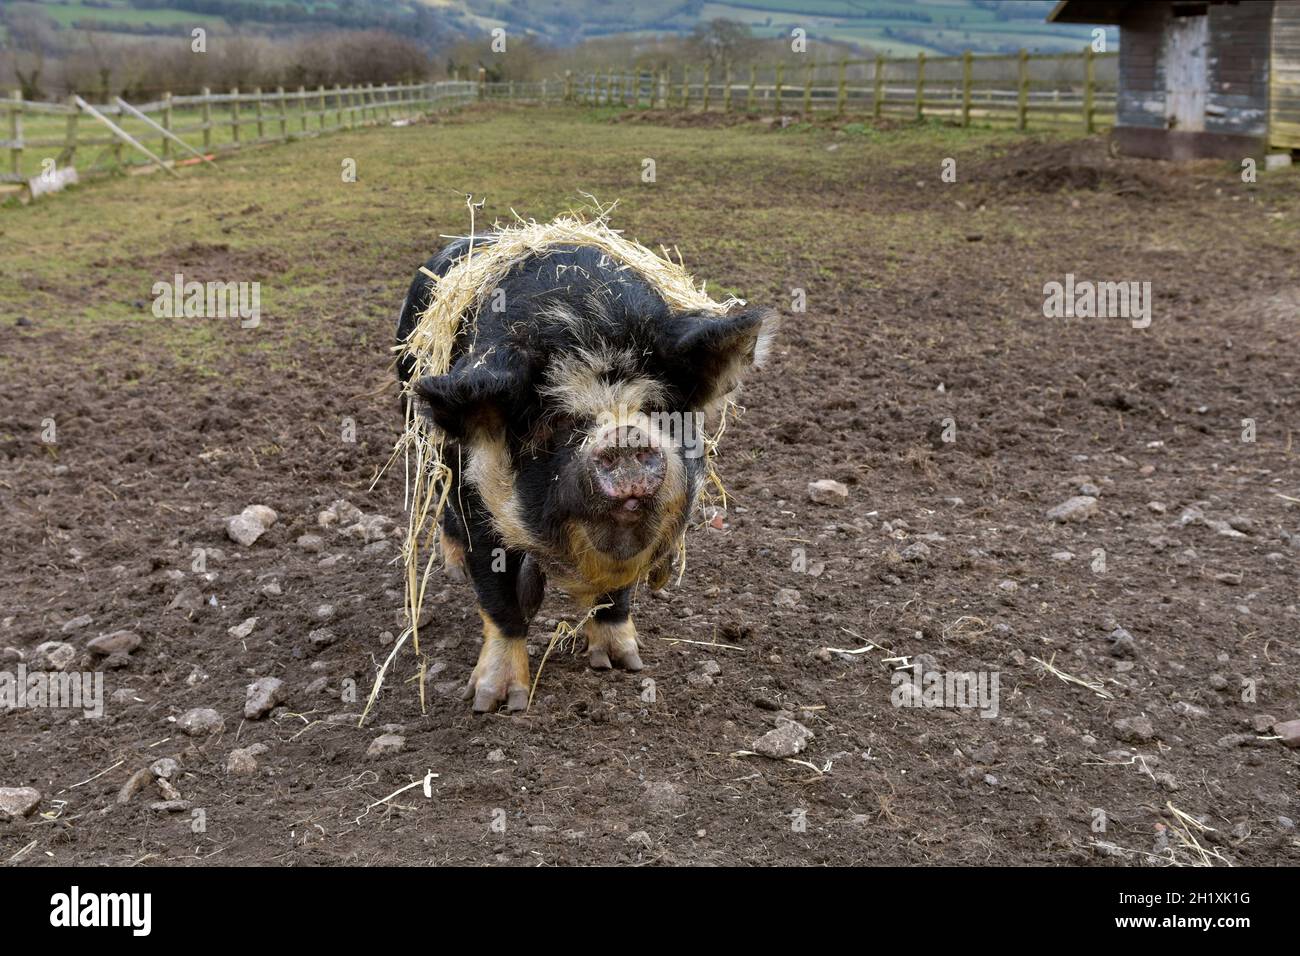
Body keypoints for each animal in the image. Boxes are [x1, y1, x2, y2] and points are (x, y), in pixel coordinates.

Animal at [396, 236, 777, 712]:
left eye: (655, 408)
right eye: (558, 421)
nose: (626, 435)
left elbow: (619, 594)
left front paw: (622, 664)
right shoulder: (477, 500)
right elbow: (497, 594)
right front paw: (494, 703)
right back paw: (454, 571)